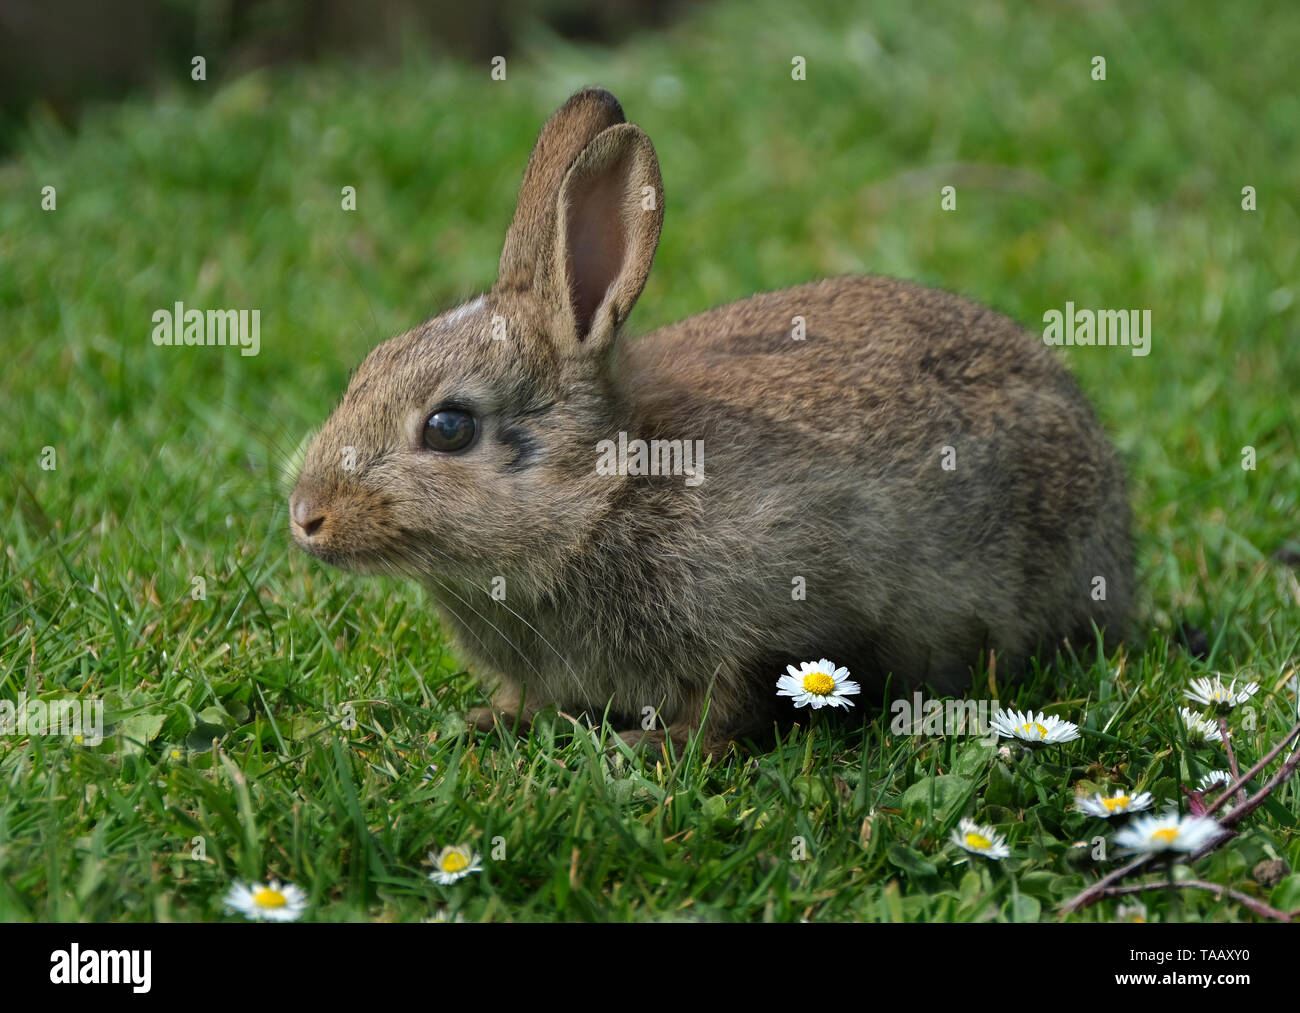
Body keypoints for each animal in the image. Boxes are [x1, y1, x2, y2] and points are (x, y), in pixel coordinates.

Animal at [288, 87, 1133, 756]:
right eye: (369, 364)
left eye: (449, 428)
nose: (305, 516)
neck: (603, 493)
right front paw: (487, 720)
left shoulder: (777, 615)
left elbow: (734, 701)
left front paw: (652, 746)